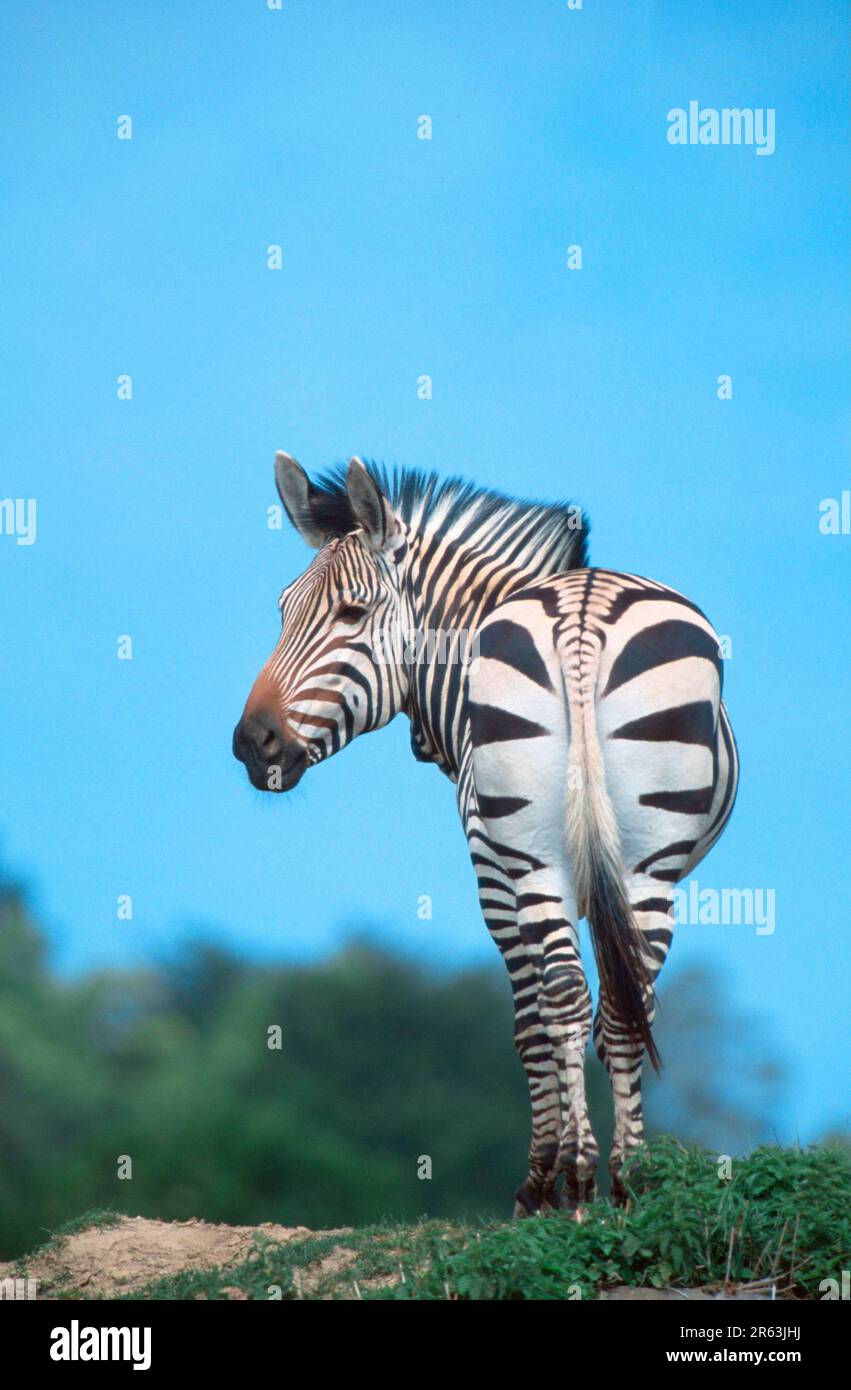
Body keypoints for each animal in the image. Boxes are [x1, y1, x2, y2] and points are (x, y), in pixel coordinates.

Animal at [233, 453, 739, 1215]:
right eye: (283, 611)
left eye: (352, 612)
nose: (250, 744)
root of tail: (582, 618)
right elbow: (602, 1012)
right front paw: (590, 1172)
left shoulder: (493, 869)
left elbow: (531, 1024)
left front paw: (541, 1182)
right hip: (646, 860)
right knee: (623, 1003)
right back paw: (624, 1183)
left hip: (535, 860)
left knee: (564, 998)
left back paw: (581, 1181)